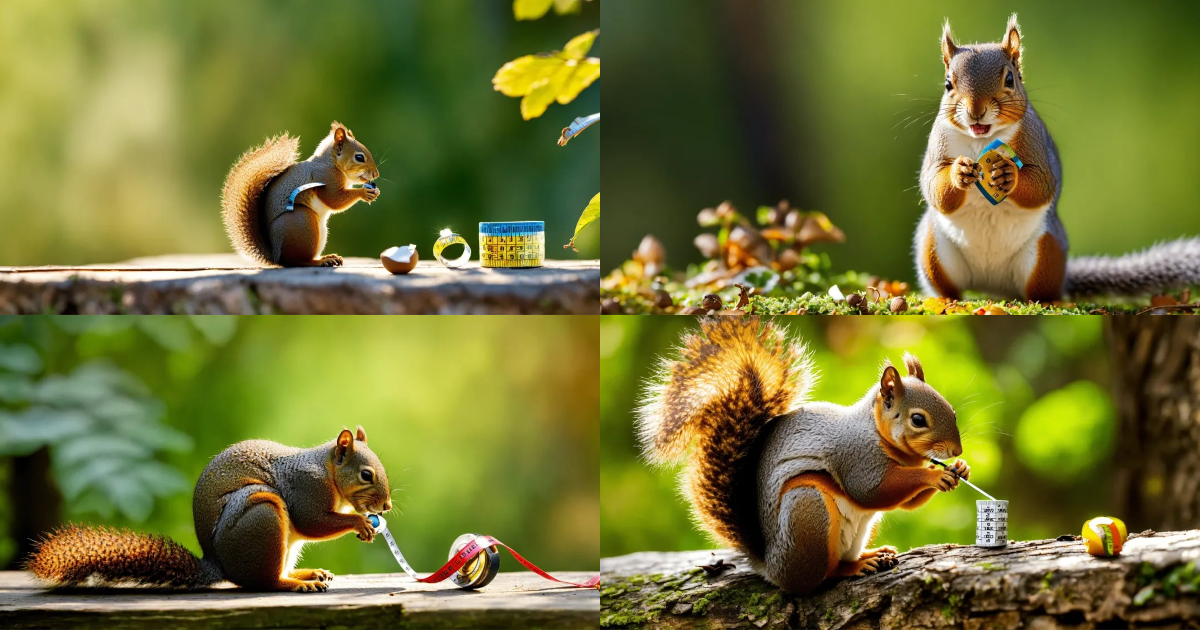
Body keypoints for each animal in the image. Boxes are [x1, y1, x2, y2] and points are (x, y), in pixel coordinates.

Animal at [26, 427, 391, 592]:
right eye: (366, 474)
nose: (386, 506)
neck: (328, 471)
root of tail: (218, 564)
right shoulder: (306, 489)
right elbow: (313, 522)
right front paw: (360, 523)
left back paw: (307, 574)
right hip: (264, 514)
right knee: (264, 581)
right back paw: (295, 584)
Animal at [221, 121, 381, 267]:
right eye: (359, 157)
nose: (376, 174)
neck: (331, 163)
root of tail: (276, 256)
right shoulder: (325, 177)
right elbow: (334, 200)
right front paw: (363, 192)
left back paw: (328, 257)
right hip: (303, 221)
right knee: (298, 261)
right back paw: (321, 261)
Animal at [638, 317, 969, 595]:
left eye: (951, 410)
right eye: (918, 420)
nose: (957, 451)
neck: (879, 434)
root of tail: (771, 566)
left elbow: (907, 502)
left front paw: (960, 469)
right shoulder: (856, 456)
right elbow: (873, 491)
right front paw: (935, 474)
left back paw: (872, 554)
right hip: (808, 509)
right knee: (817, 578)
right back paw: (853, 567)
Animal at [916, 15, 1200, 301]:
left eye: (1010, 79)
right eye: (948, 83)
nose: (976, 111)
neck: (981, 138)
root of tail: (993, 286)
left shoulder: (1036, 143)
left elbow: (1041, 185)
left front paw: (1009, 174)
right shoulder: (938, 144)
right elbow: (932, 184)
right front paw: (959, 172)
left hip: (1046, 253)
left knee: (1042, 289)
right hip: (932, 250)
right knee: (947, 285)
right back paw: (946, 299)